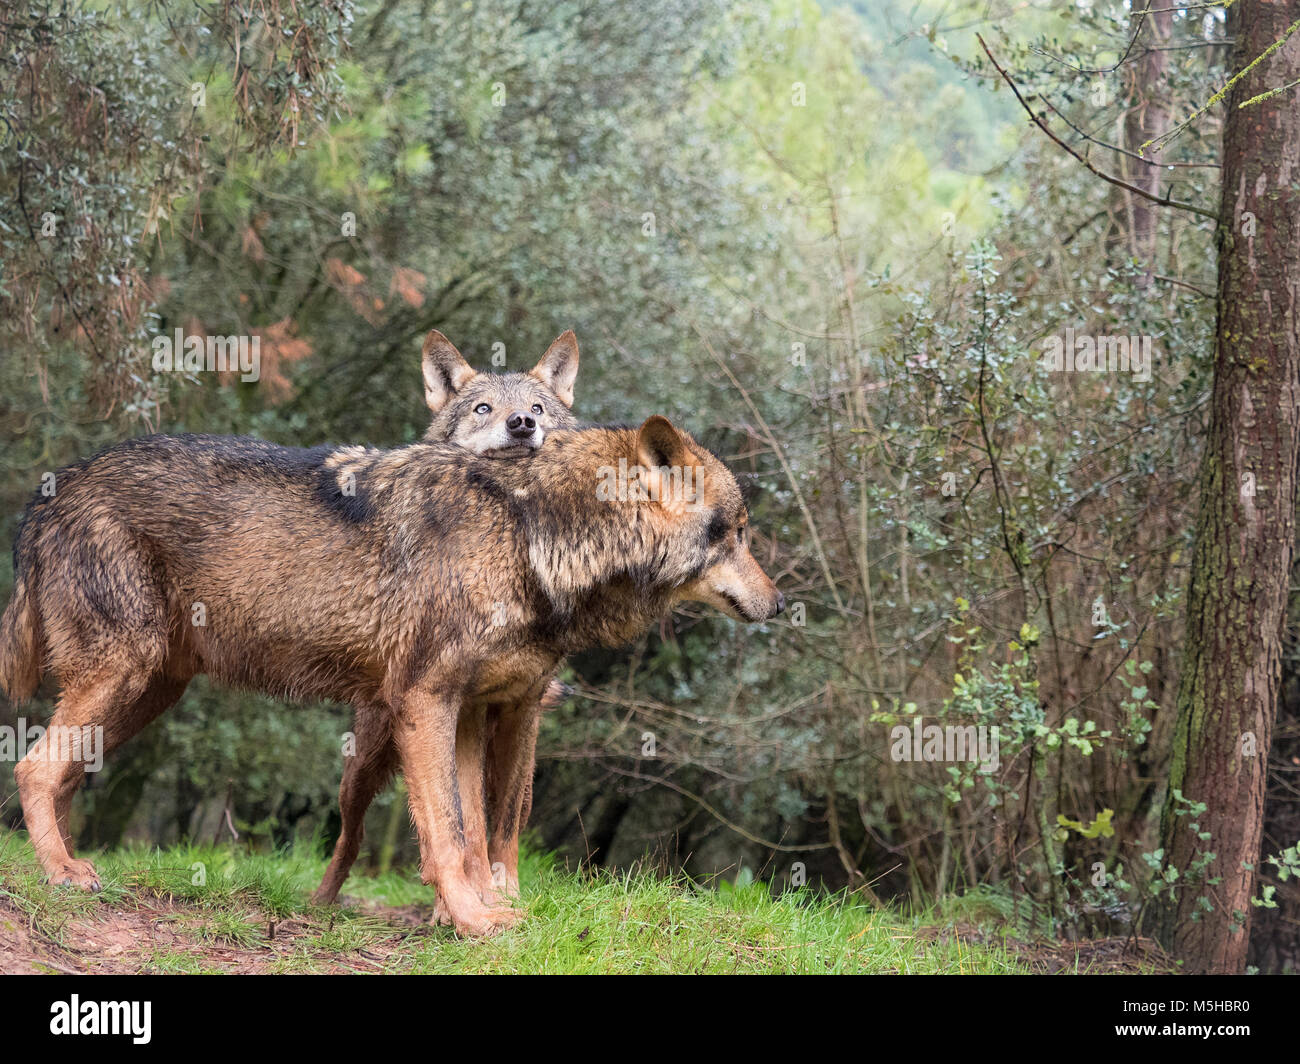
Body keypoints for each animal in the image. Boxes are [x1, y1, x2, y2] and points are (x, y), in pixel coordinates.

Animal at [0, 416, 782, 936]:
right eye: (739, 532)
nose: (779, 603)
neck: (531, 528)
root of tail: (50, 491)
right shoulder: (424, 702)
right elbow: (447, 836)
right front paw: (475, 924)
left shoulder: (470, 711)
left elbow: (473, 836)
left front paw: (483, 912)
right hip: (129, 681)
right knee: (33, 768)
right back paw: (64, 876)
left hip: (148, 696)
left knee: (58, 775)